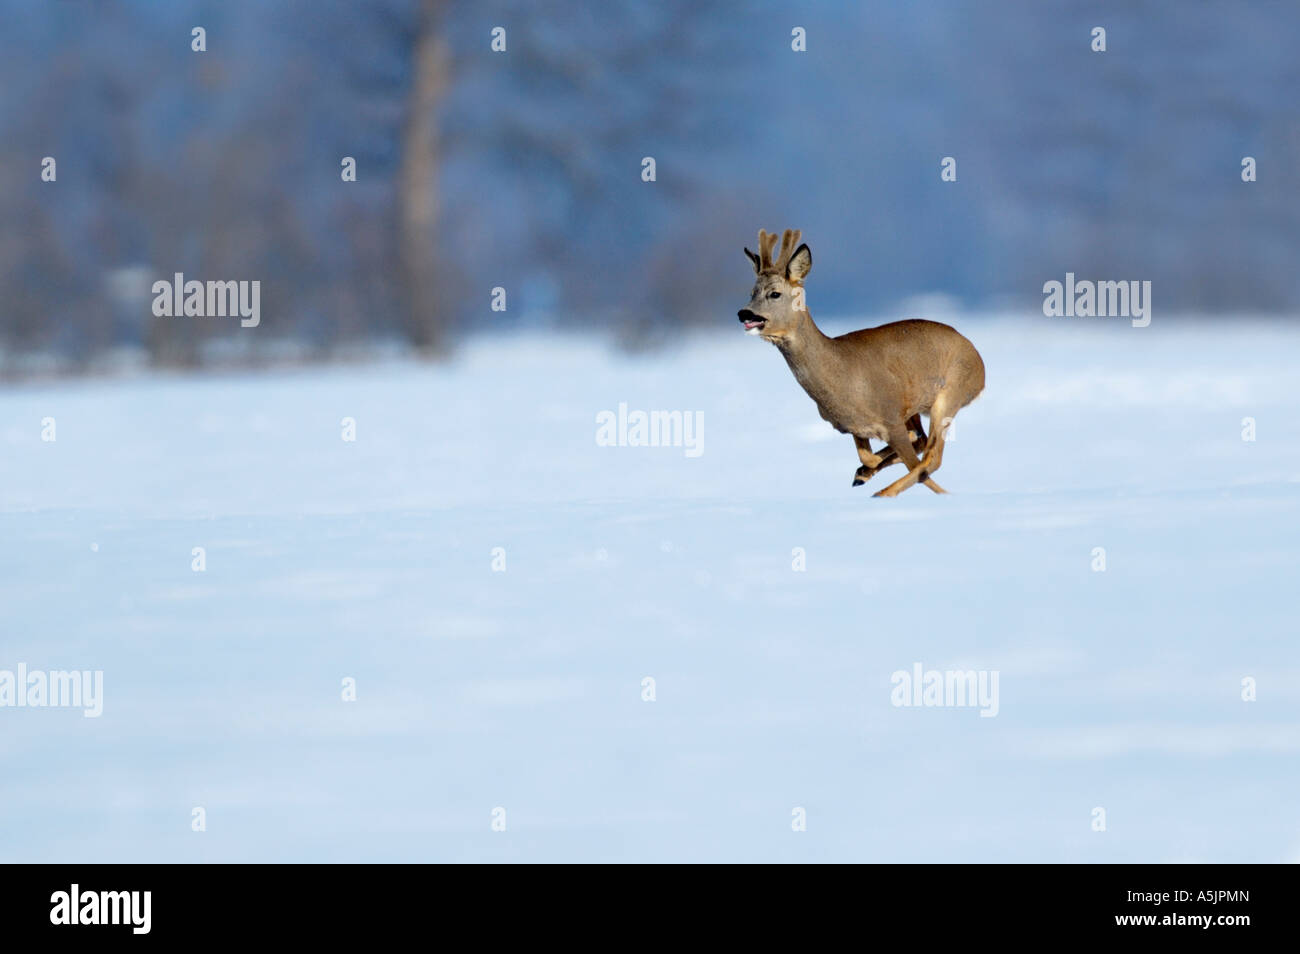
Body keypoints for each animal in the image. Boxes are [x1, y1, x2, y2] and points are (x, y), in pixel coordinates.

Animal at [737, 229, 985, 497]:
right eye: (751, 292)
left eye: (774, 293)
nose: (744, 313)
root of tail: (979, 362)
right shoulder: (855, 427)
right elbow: (869, 457)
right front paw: (863, 473)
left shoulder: (891, 418)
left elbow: (914, 460)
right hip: (920, 407)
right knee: (924, 447)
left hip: (951, 393)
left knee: (933, 457)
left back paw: (886, 492)